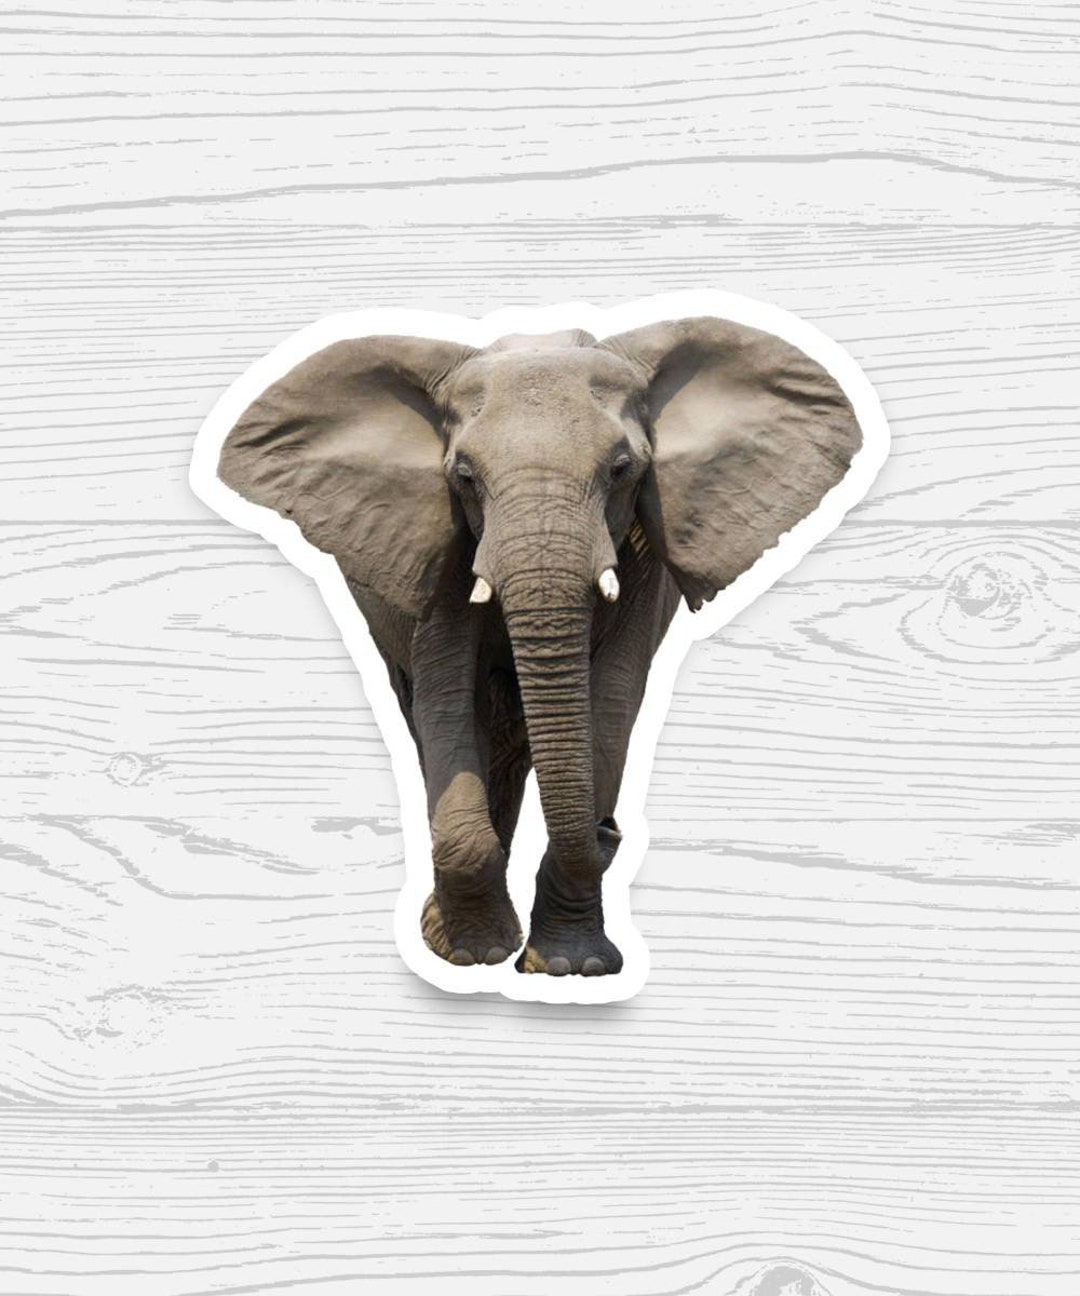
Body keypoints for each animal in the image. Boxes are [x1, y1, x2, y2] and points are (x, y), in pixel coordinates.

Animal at [216, 316, 862, 978]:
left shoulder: (643, 559)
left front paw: (570, 966)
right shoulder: (444, 545)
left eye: (623, 469)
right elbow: (446, 695)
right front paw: (473, 954)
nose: (611, 829)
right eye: (464, 477)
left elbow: (613, 700)